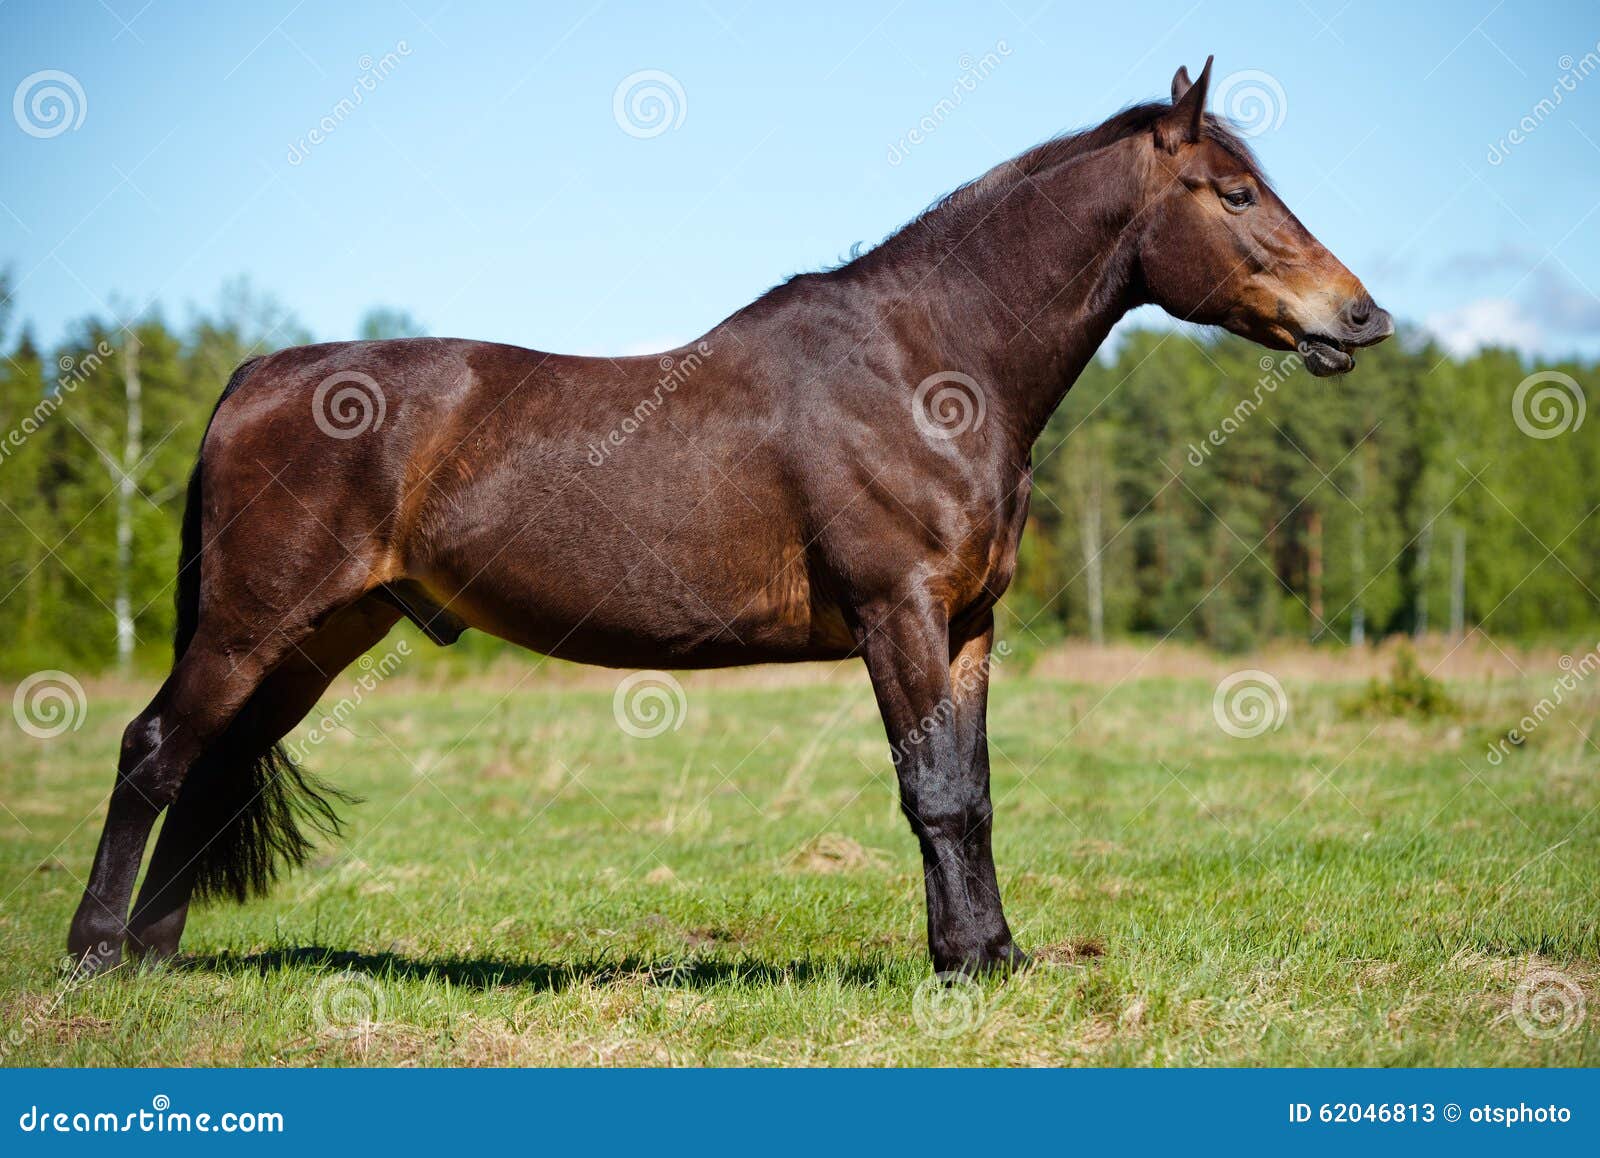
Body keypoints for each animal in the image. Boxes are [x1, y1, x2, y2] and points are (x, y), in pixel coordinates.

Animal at [69, 58, 1392, 977]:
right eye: (1235, 191)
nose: (1361, 316)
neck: (925, 364)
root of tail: (258, 374)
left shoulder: (965, 625)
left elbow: (968, 789)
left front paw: (987, 954)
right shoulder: (896, 612)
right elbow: (933, 792)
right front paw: (967, 964)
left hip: (320, 635)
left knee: (213, 764)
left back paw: (158, 954)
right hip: (251, 623)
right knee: (154, 749)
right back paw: (94, 956)